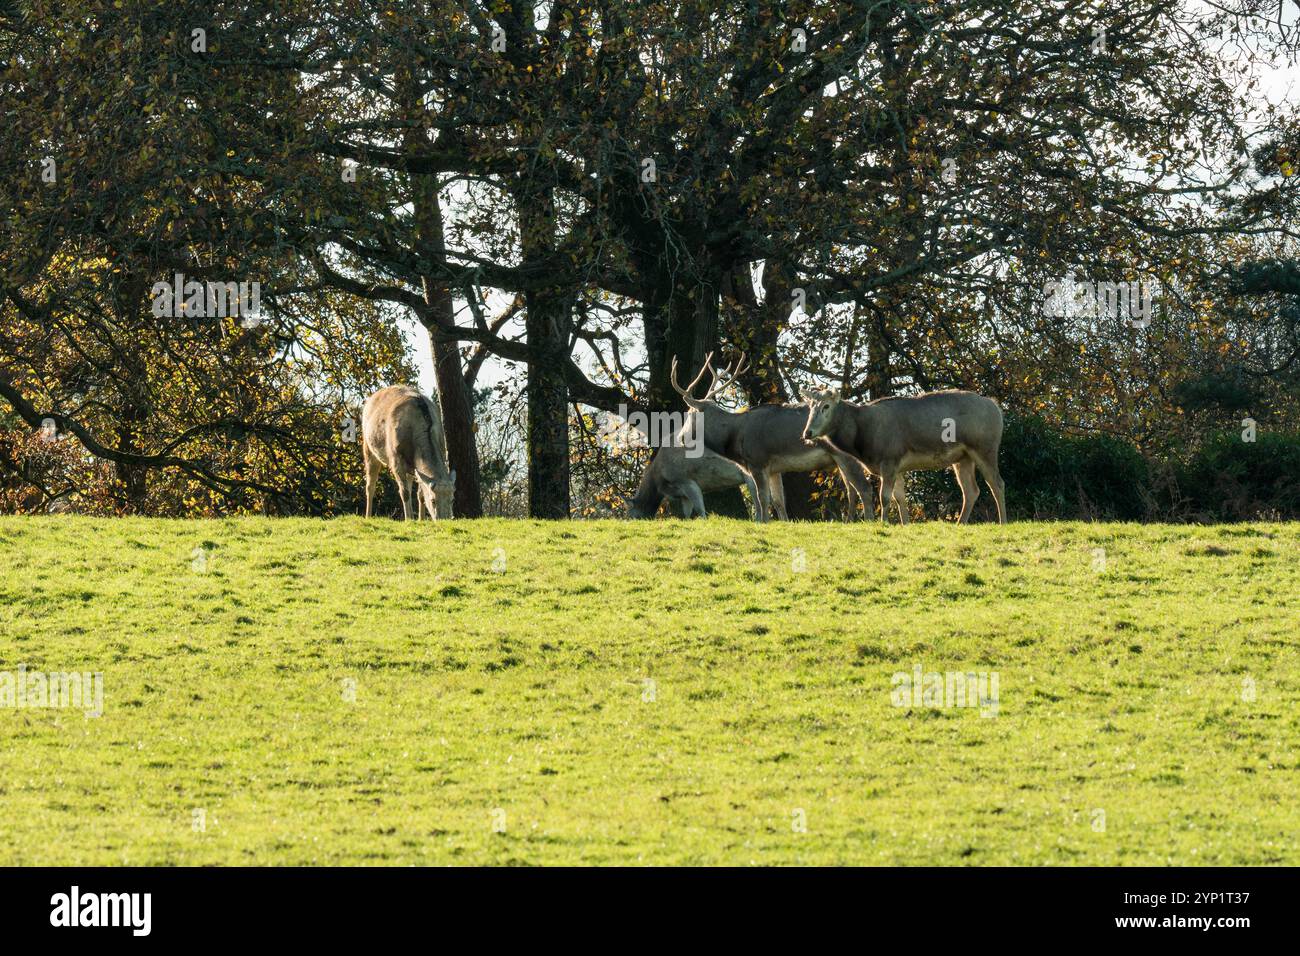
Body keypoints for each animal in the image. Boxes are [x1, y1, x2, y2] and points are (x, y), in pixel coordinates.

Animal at [361, 385, 456, 520]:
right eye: (433, 501)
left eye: (452, 500)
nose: (445, 520)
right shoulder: (395, 458)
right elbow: (404, 492)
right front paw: (408, 519)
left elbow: (420, 493)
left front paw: (421, 519)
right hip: (368, 447)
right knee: (370, 485)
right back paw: (368, 516)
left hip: (410, 466)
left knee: (410, 482)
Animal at [669, 354, 876, 522]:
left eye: (689, 413)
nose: (680, 437)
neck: (735, 437)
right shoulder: (775, 468)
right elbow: (778, 501)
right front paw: (784, 523)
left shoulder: (757, 461)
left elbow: (762, 499)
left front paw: (763, 522)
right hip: (837, 459)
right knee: (851, 490)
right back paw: (849, 521)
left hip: (845, 455)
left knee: (864, 489)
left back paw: (869, 522)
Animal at [801, 387, 1006, 524]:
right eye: (810, 406)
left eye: (826, 406)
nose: (807, 432)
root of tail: (996, 407)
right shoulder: (897, 466)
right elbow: (900, 497)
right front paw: (904, 523)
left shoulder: (889, 458)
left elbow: (884, 497)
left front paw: (883, 522)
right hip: (963, 457)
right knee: (971, 490)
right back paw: (959, 523)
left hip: (985, 447)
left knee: (997, 483)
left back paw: (1002, 521)